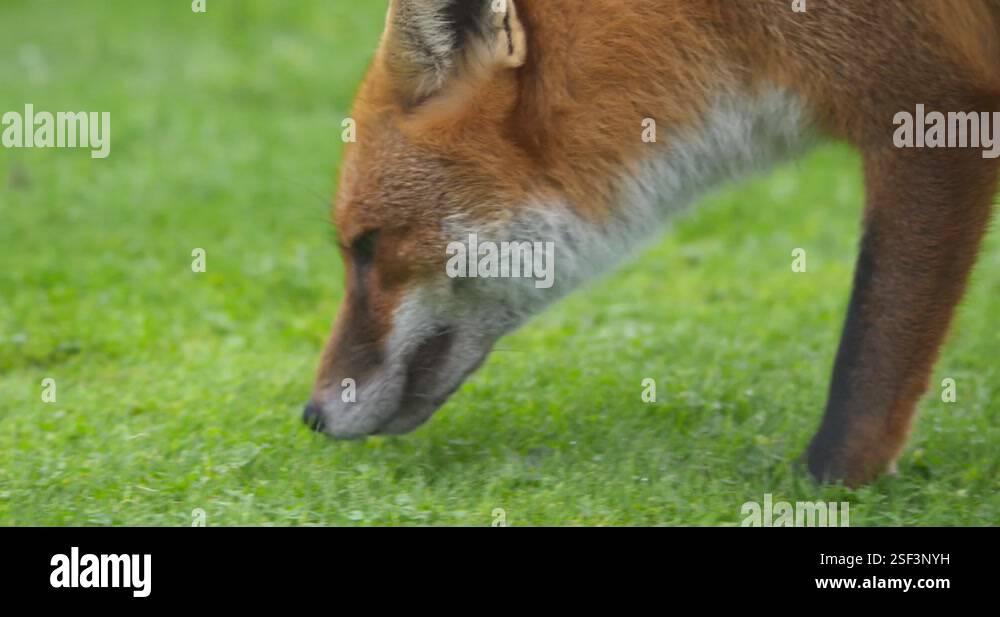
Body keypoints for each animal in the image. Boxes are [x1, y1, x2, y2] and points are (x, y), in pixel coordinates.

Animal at [303, 0, 1000, 487]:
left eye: (366, 246)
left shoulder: (930, 112)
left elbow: (865, 366)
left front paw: (830, 485)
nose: (311, 415)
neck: (726, 21)